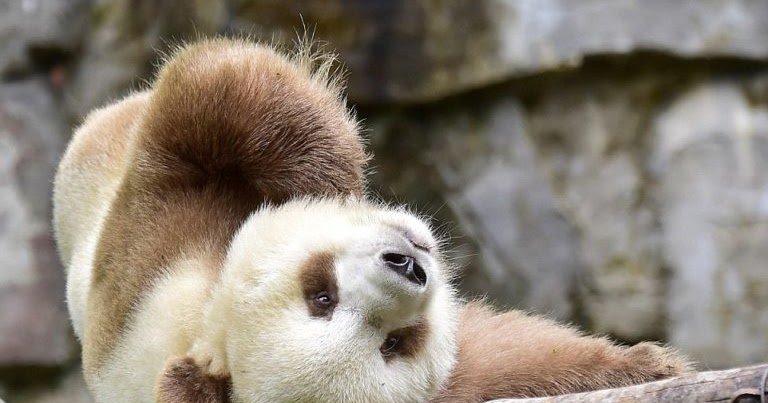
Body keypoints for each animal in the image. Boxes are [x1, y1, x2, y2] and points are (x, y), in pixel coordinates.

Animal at [53, 38, 691, 403]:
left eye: (320, 294)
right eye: (392, 345)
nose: (407, 264)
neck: (207, 331)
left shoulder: (154, 253)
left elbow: (218, 89)